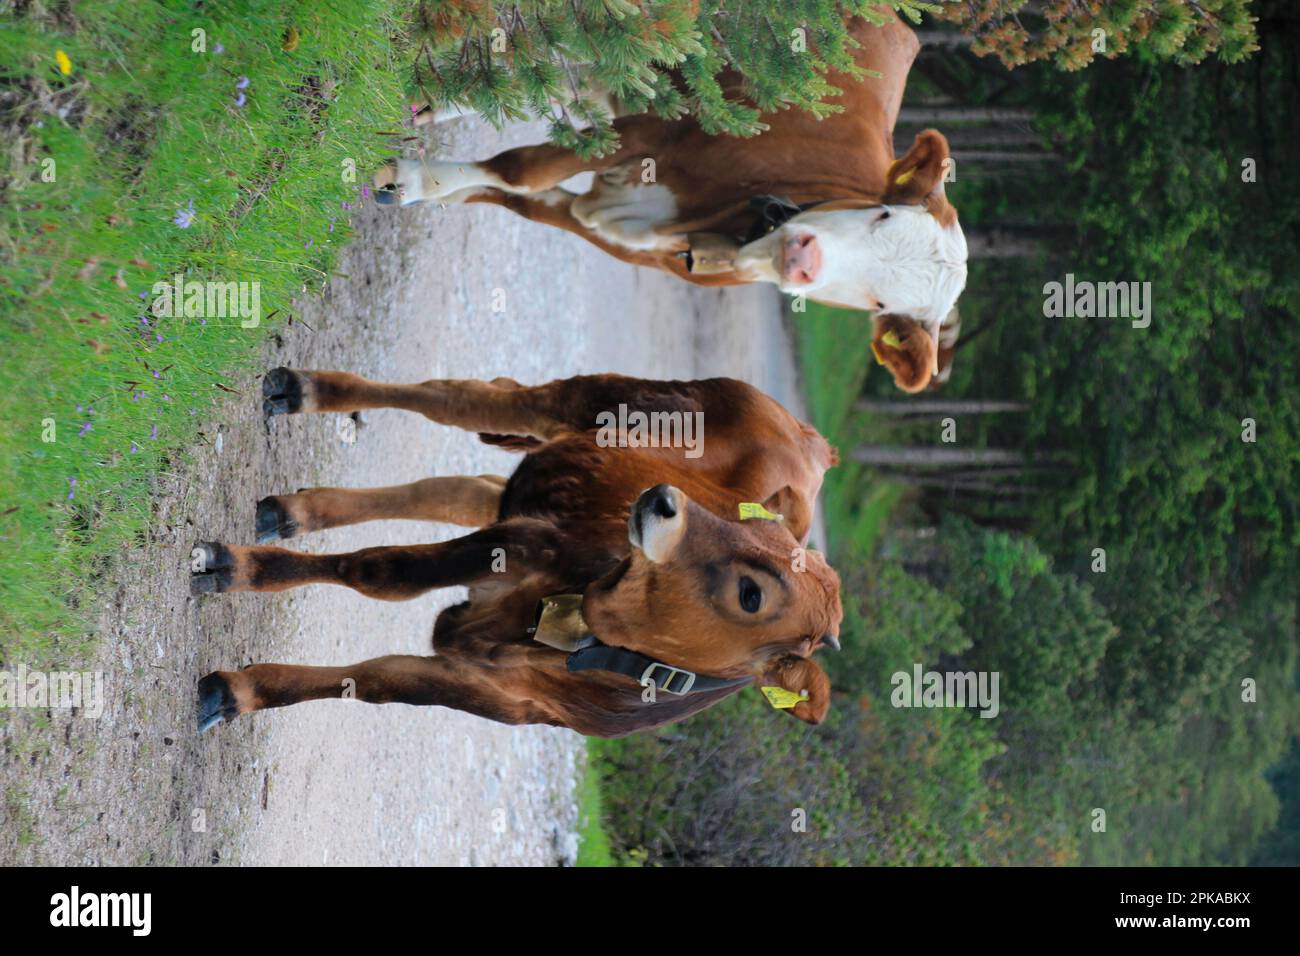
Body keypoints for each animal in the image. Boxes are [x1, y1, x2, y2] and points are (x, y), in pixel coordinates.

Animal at [193, 368, 843, 738]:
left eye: (752, 594)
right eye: (747, 517)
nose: (664, 498)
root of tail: (817, 443)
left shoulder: (491, 693)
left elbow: (373, 683)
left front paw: (239, 693)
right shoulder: (522, 542)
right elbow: (380, 570)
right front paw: (237, 567)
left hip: (535, 481)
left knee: (457, 487)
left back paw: (295, 511)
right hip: (603, 401)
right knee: (460, 399)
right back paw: (304, 390)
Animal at [373, 8, 967, 392]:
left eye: (881, 305)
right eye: (882, 212)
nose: (803, 258)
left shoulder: (604, 226)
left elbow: (510, 192)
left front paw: (424, 185)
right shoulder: (652, 133)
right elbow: (522, 168)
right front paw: (408, 177)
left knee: (571, 79)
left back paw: (430, 102)